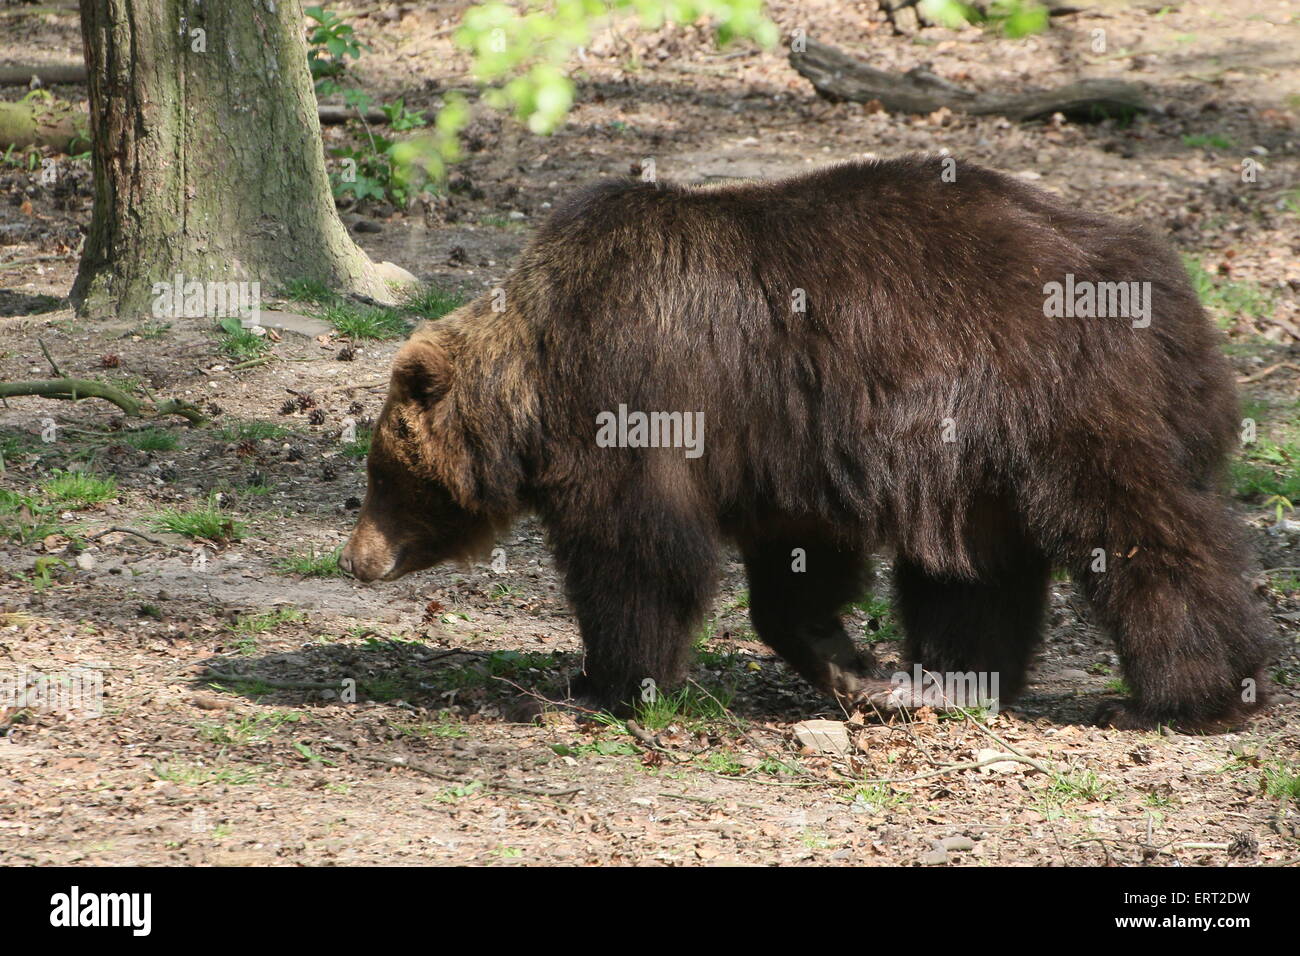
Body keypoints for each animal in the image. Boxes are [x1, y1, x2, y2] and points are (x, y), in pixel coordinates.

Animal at [340, 155, 1272, 731]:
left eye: (385, 475)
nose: (357, 559)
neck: (539, 376)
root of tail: (1171, 285)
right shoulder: (782, 447)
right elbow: (797, 569)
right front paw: (852, 663)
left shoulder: (638, 398)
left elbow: (641, 554)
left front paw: (601, 683)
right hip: (976, 459)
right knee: (976, 569)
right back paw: (950, 680)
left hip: (1061, 402)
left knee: (1142, 534)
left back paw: (1181, 694)